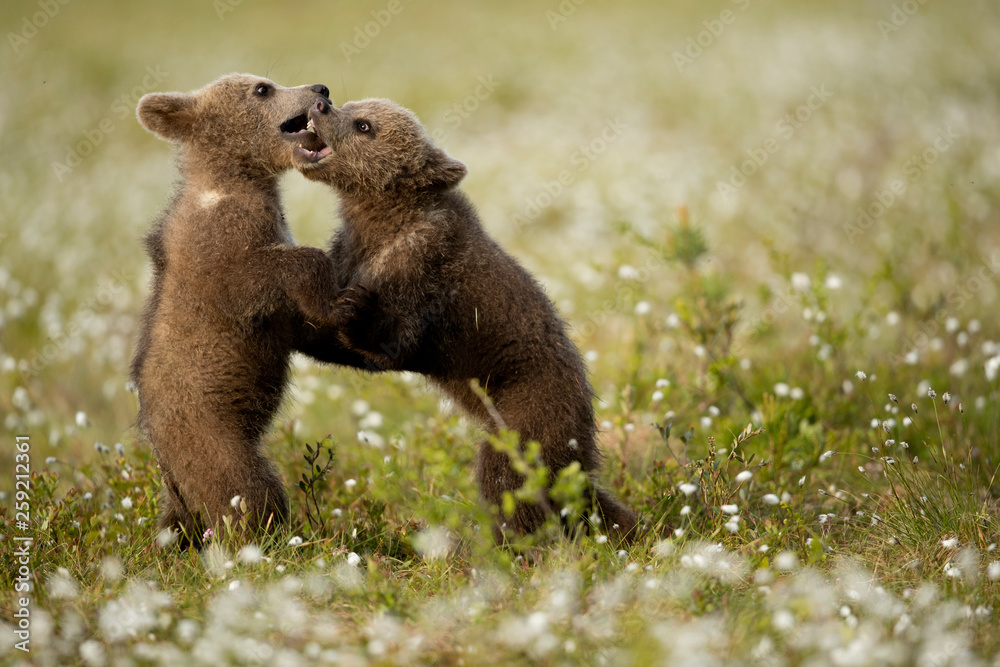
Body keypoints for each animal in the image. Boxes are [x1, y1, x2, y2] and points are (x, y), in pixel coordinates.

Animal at [131, 74, 366, 547]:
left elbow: (294, 319)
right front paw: (338, 300)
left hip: (179, 488)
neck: (237, 180)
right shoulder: (219, 254)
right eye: (263, 88)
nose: (321, 87)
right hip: (211, 439)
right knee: (249, 492)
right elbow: (258, 278)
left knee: (175, 524)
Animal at [288, 97, 639, 545]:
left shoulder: (423, 269)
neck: (379, 223)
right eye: (350, 105)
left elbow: (391, 341)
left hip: (529, 404)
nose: (320, 102)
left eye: (364, 124)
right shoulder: (349, 251)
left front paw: (356, 311)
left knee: (509, 477)